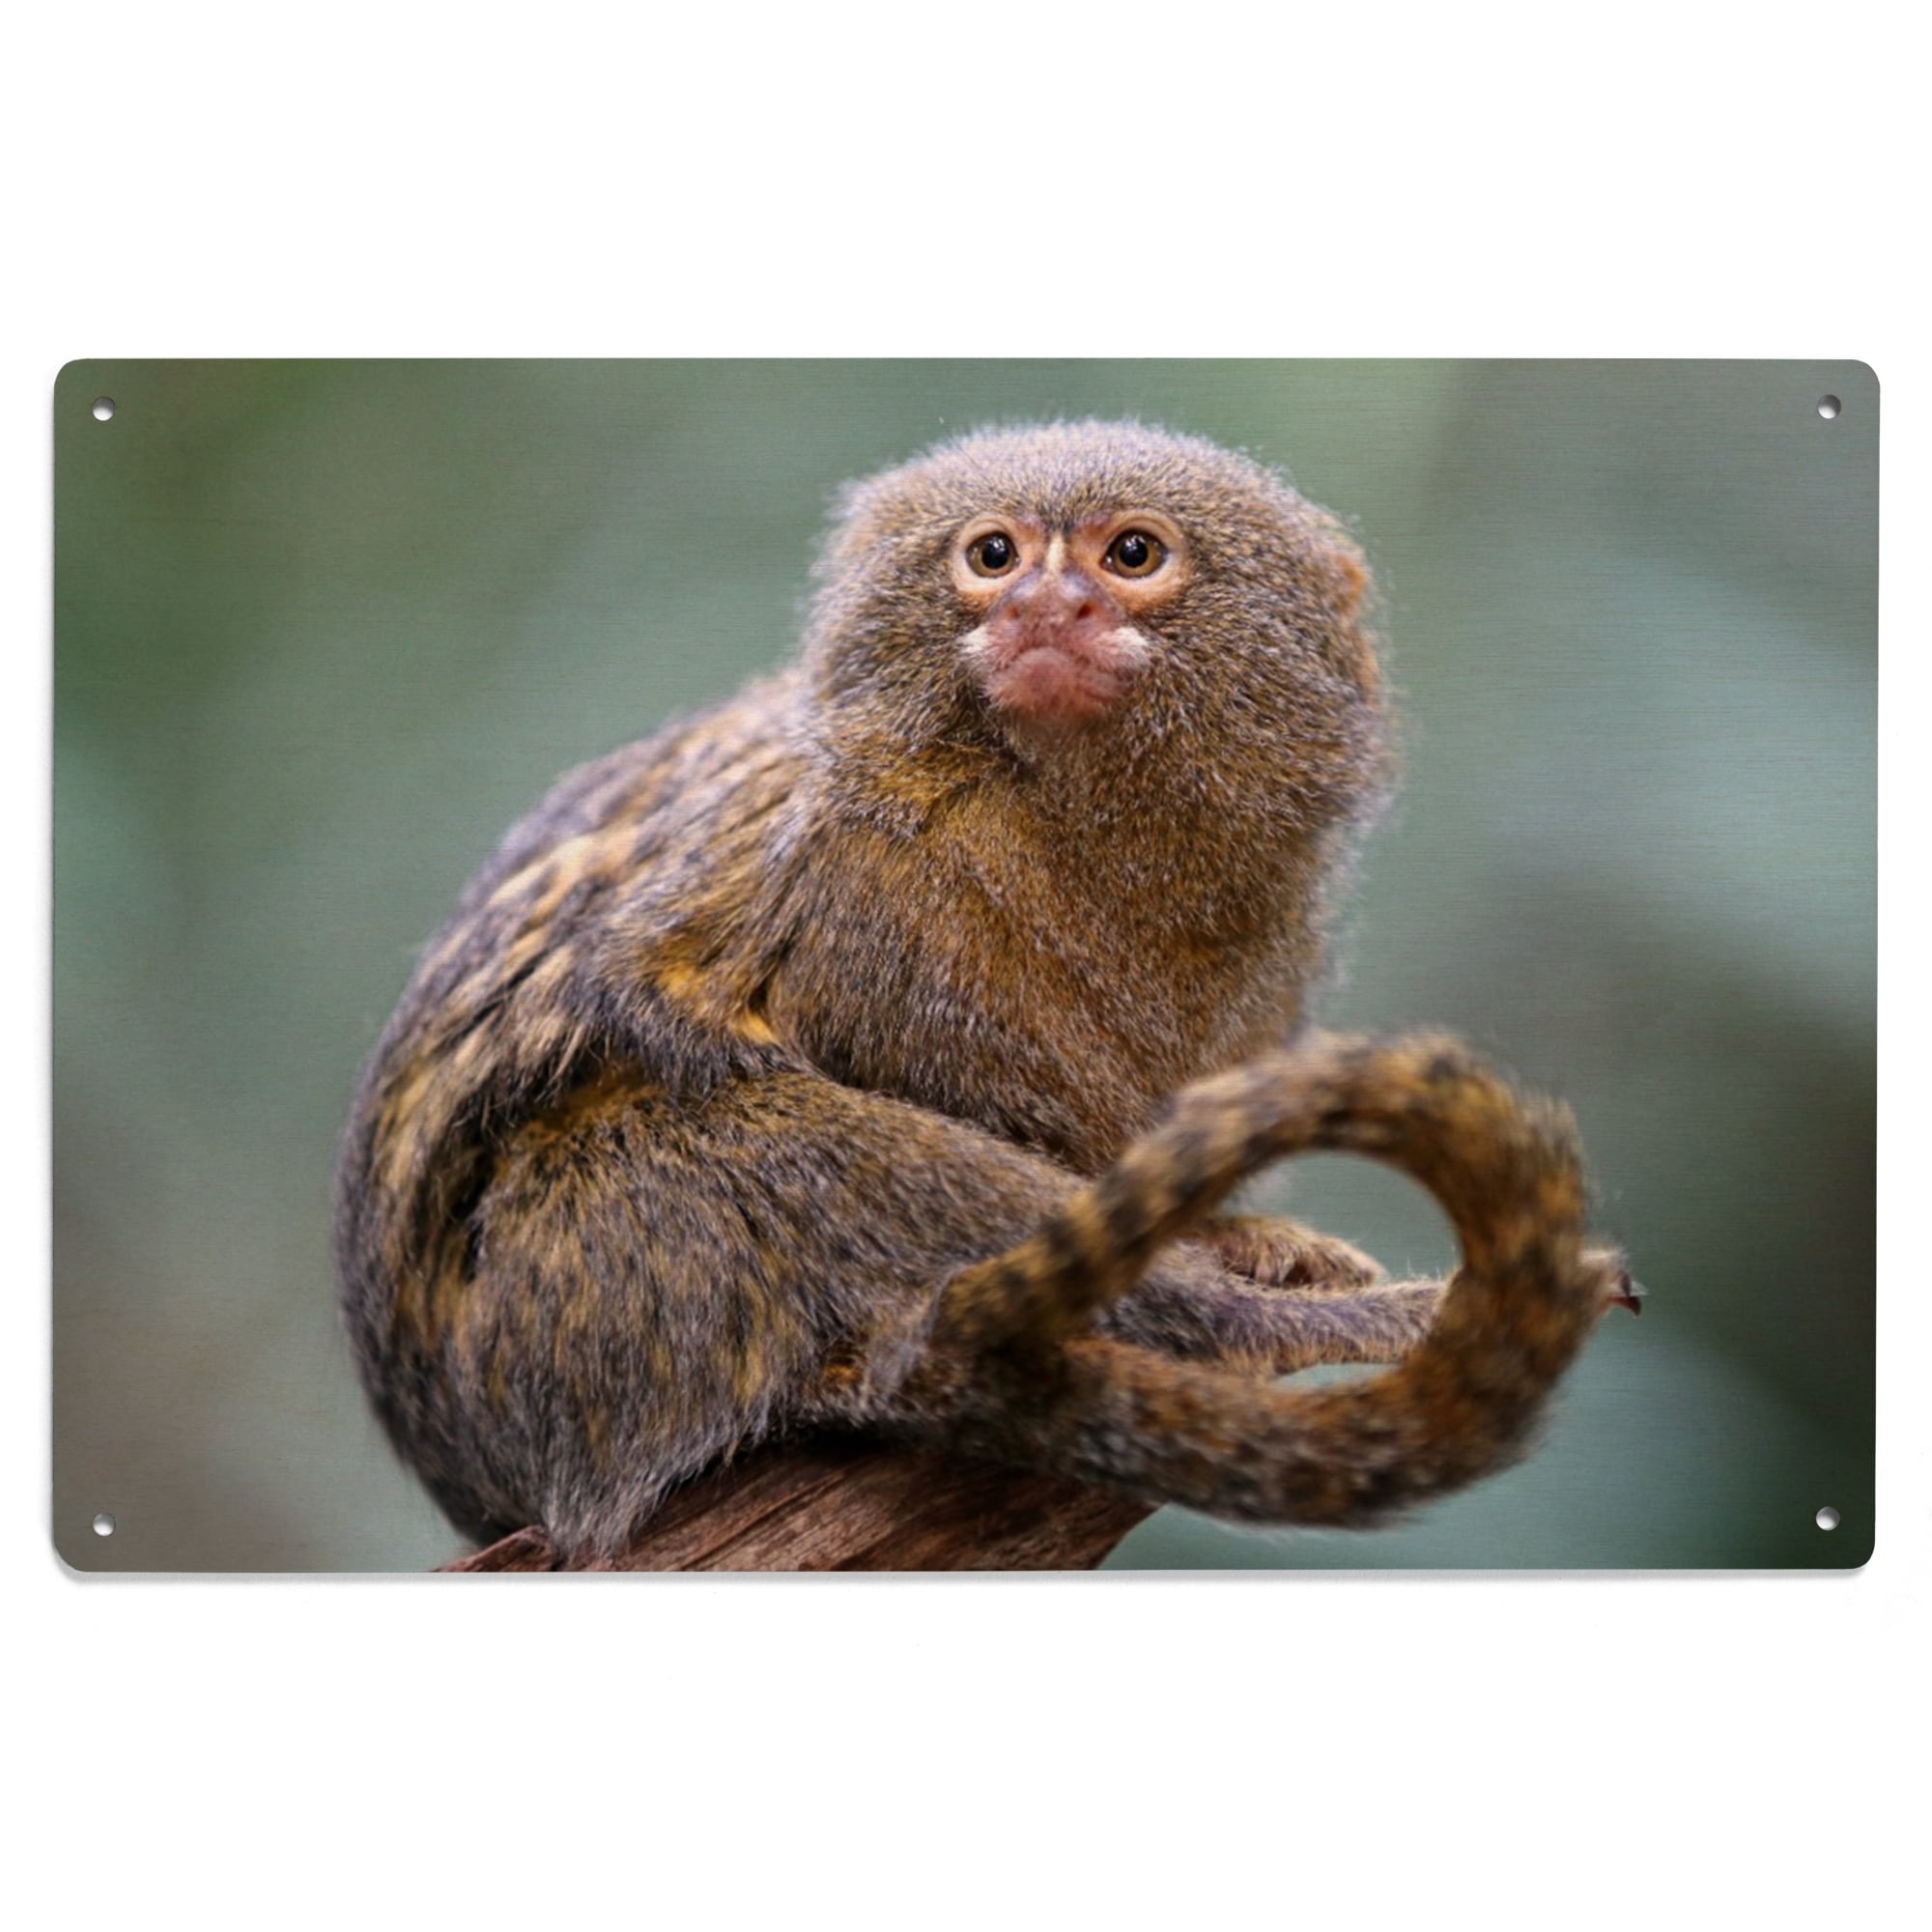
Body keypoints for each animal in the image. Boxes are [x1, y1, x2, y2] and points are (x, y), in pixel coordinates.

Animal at [335, 419, 1634, 1565]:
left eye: (1130, 554)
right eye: (993, 556)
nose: (1043, 610)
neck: (1050, 804)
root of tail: (490, 1480)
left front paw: (1246, 1233)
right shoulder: (833, 861)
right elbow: (655, 1005)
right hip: (579, 1306)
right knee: (746, 1143)